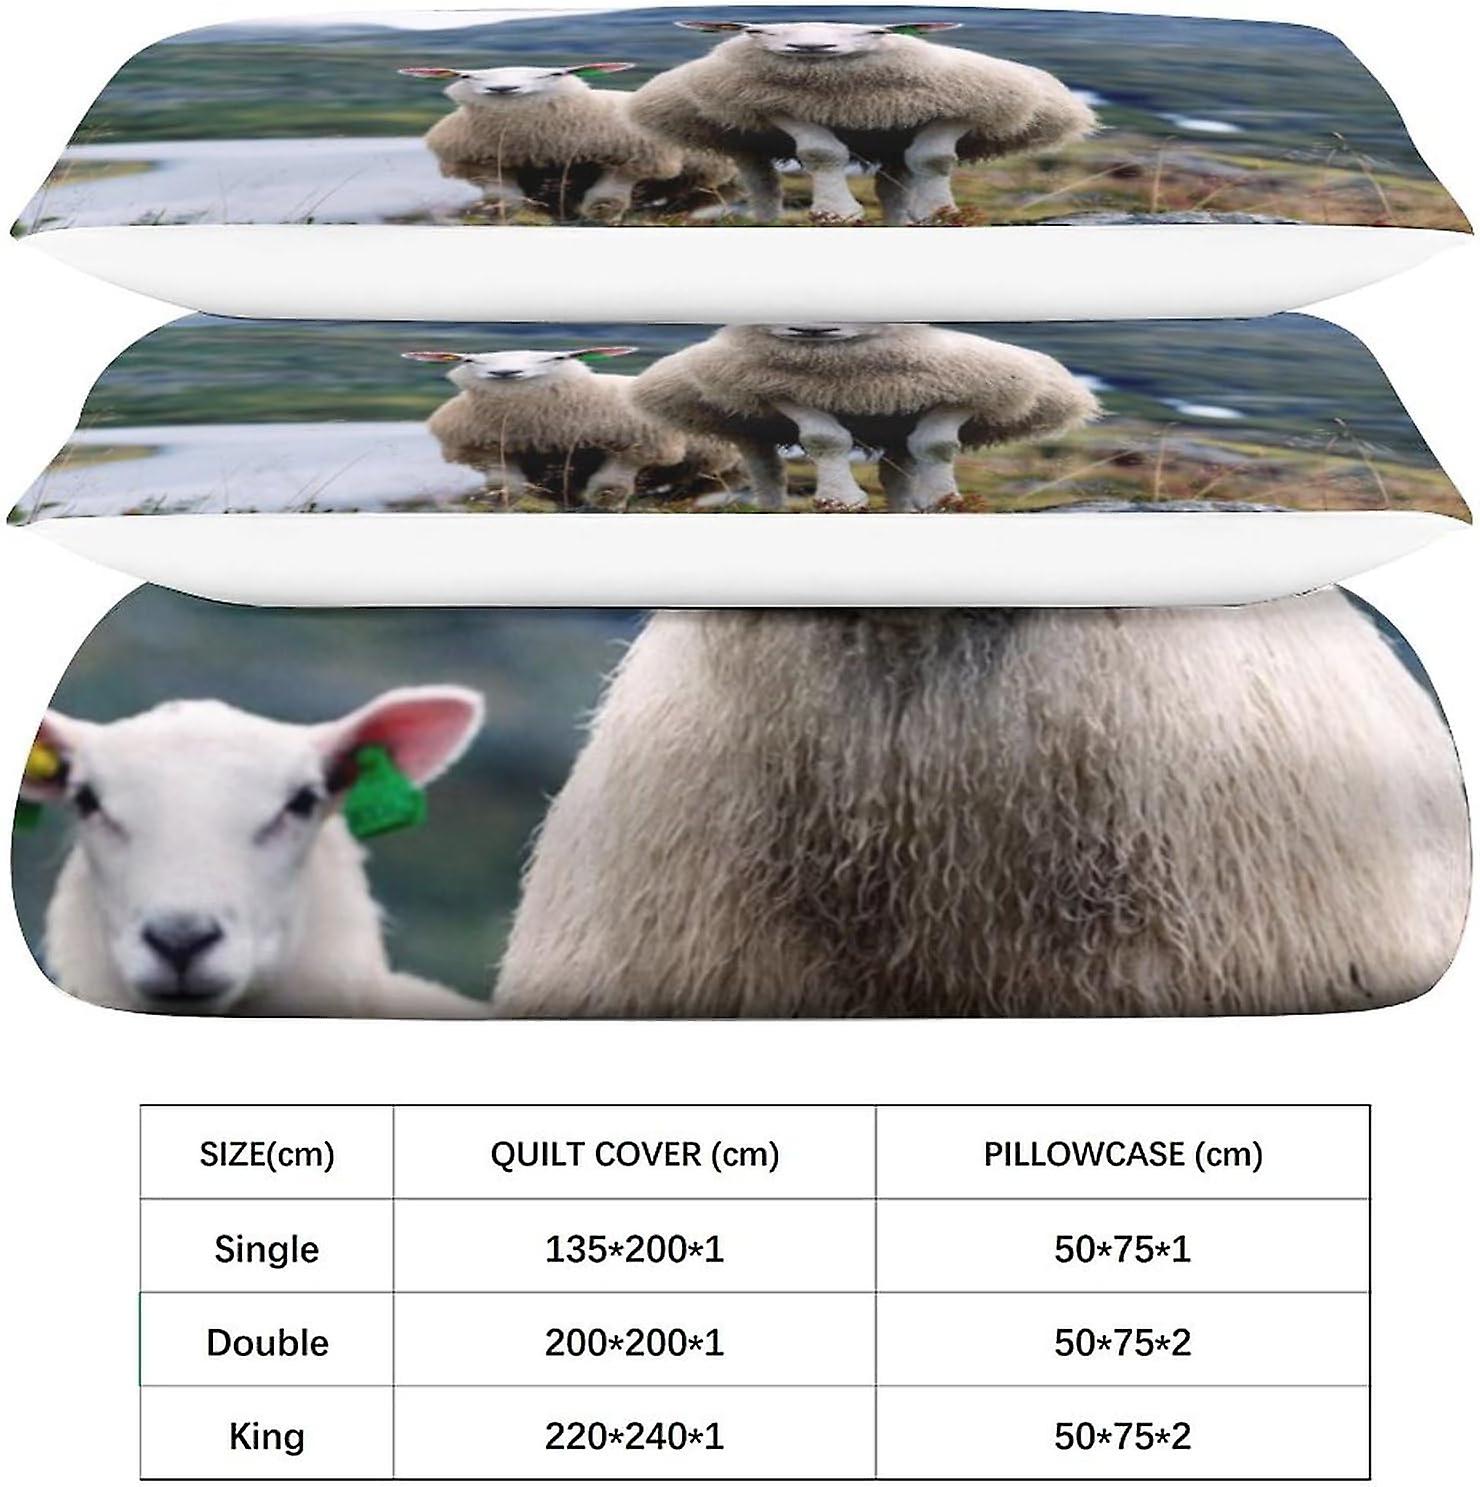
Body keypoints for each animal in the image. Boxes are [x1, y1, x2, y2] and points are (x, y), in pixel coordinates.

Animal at [398, 61, 734, 221]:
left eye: (554, 74)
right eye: (468, 76)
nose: (503, 89)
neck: (538, 145)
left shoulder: (630, 162)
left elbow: (604, 203)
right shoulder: (490, 165)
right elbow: (503, 203)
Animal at [403, 345, 739, 508]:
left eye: (557, 357)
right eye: (470, 360)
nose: (506, 373)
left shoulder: (632, 449)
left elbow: (609, 489)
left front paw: (604, 507)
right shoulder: (492, 451)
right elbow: (505, 488)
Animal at [630, 20, 1095, 223]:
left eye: (873, 33)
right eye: (765, 32)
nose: (809, 48)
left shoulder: (959, 110)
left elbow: (934, 160)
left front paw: (939, 213)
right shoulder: (774, 106)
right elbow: (822, 153)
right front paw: (837, 212)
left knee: (893, 187)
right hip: (741, 133)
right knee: (762, 185)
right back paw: (767, 221)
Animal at [631, 322, 1098, 511]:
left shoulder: (967, 392)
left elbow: (937, 446)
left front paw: (944, 502)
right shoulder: (778, 390)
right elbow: (825, 440)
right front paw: (841, 500)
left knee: (900, 470)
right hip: (742, 416)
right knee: (766, 470)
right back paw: (771, 510)